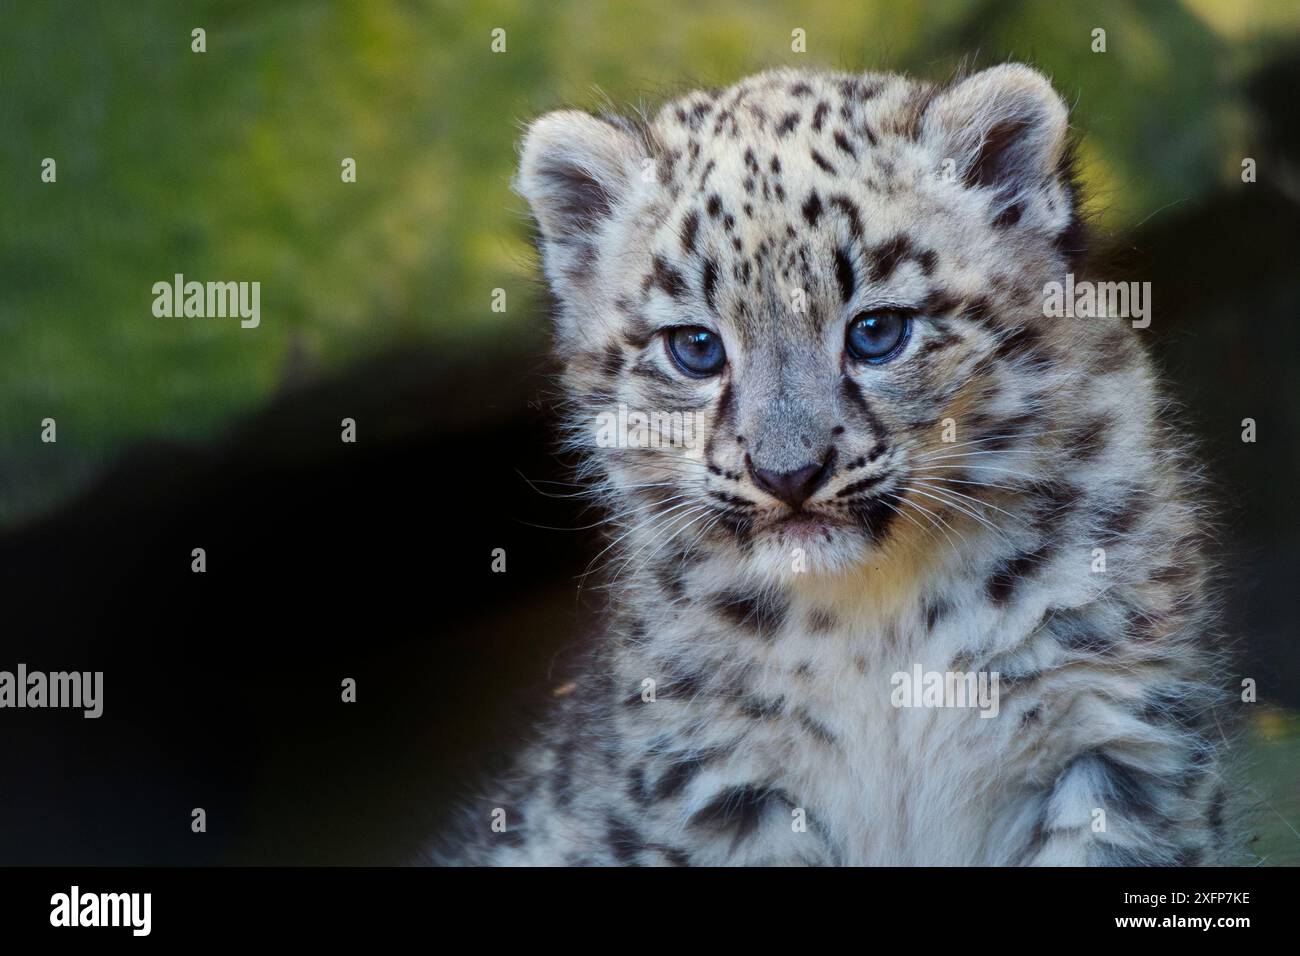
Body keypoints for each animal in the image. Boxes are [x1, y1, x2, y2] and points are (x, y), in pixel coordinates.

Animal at [439, 64, 1241, 866]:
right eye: (695, 346)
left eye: (877, 330)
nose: (788, 473)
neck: (876, 613)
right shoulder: (720, 785)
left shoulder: (1114, 731)